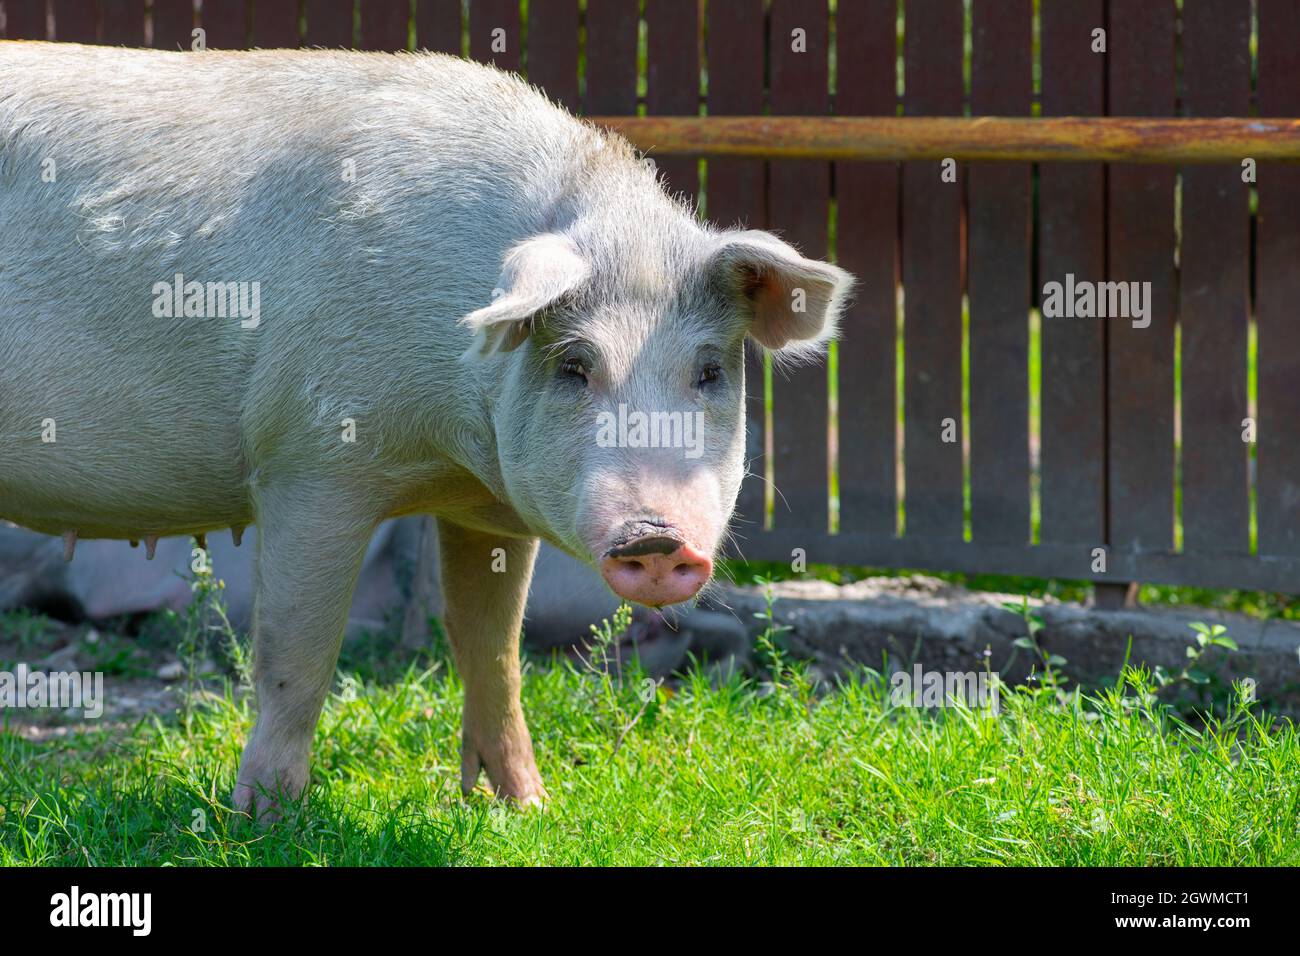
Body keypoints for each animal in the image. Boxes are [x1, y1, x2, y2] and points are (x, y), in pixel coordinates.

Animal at [0, 43, 853, 813]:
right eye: (576, 364)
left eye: (709, 371)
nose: (654, 536)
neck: (445, 450)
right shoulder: (307, 464)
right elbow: (295, 660)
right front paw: (266, 825)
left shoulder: (486, 510)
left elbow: (493, 651)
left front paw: (525, 811)